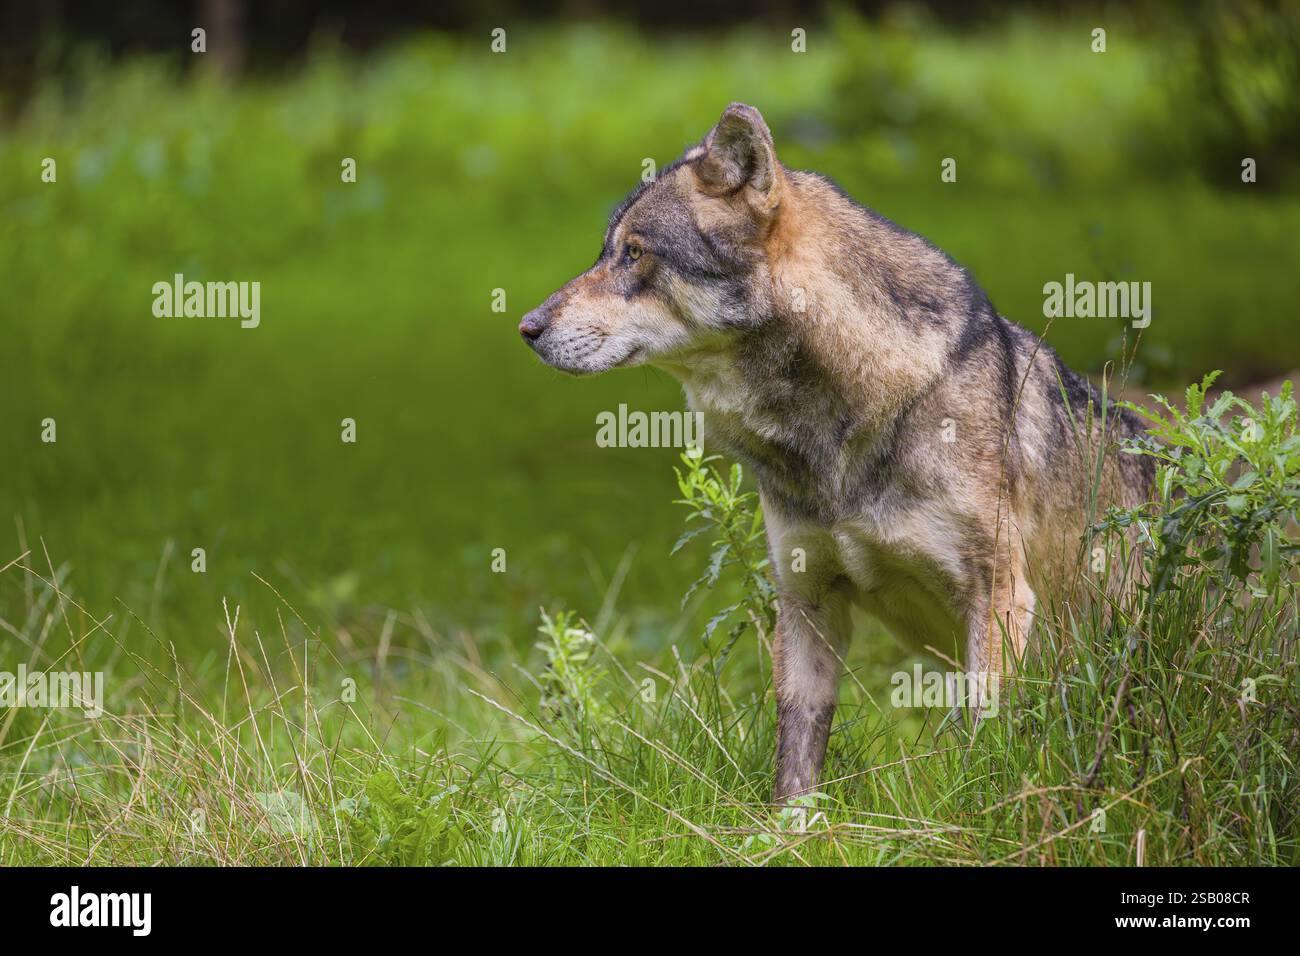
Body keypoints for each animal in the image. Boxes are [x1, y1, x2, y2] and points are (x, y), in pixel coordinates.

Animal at [520, 103, 1153, 803]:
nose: (526, 328)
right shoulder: (806, 603)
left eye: (634, 254)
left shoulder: (997, 601)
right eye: (607, 251)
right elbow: (794, 767)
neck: (838, 432)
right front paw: (786, 828)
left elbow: (982, 750)